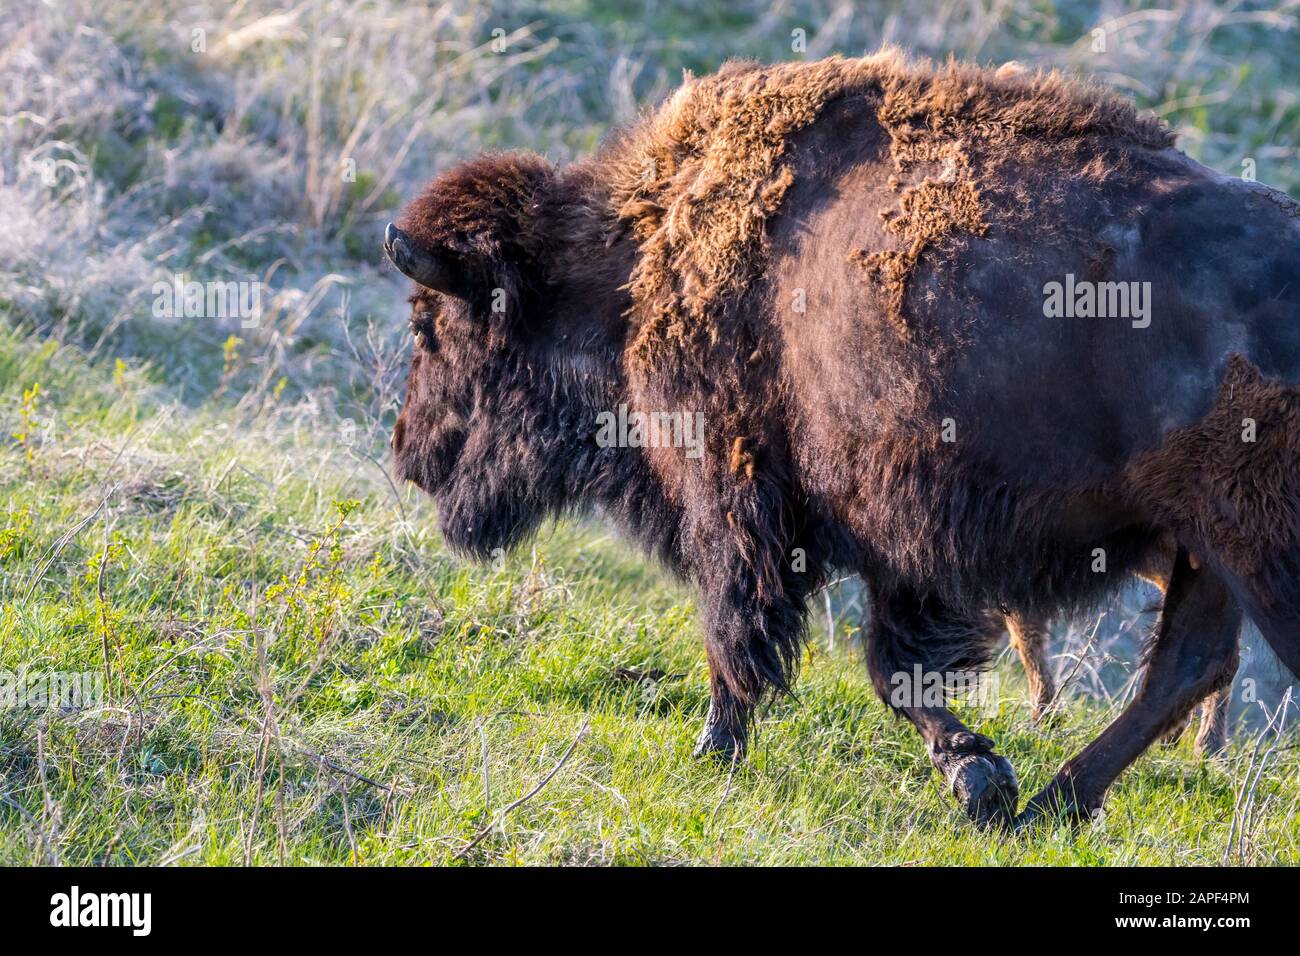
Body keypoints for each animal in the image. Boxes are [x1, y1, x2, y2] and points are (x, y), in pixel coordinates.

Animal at [384, 50, 1299, 828]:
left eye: (436, 327)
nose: (410, 457)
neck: (630, 265)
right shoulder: (902, 543)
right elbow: (892, 667)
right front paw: (982, 779)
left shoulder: (737, 495)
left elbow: (747, 636)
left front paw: (717, 756)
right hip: (1205, 545)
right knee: (1188, 663)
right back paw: (1054, 803)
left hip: (1250, 546)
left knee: (1197, 662)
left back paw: (1051, 799)